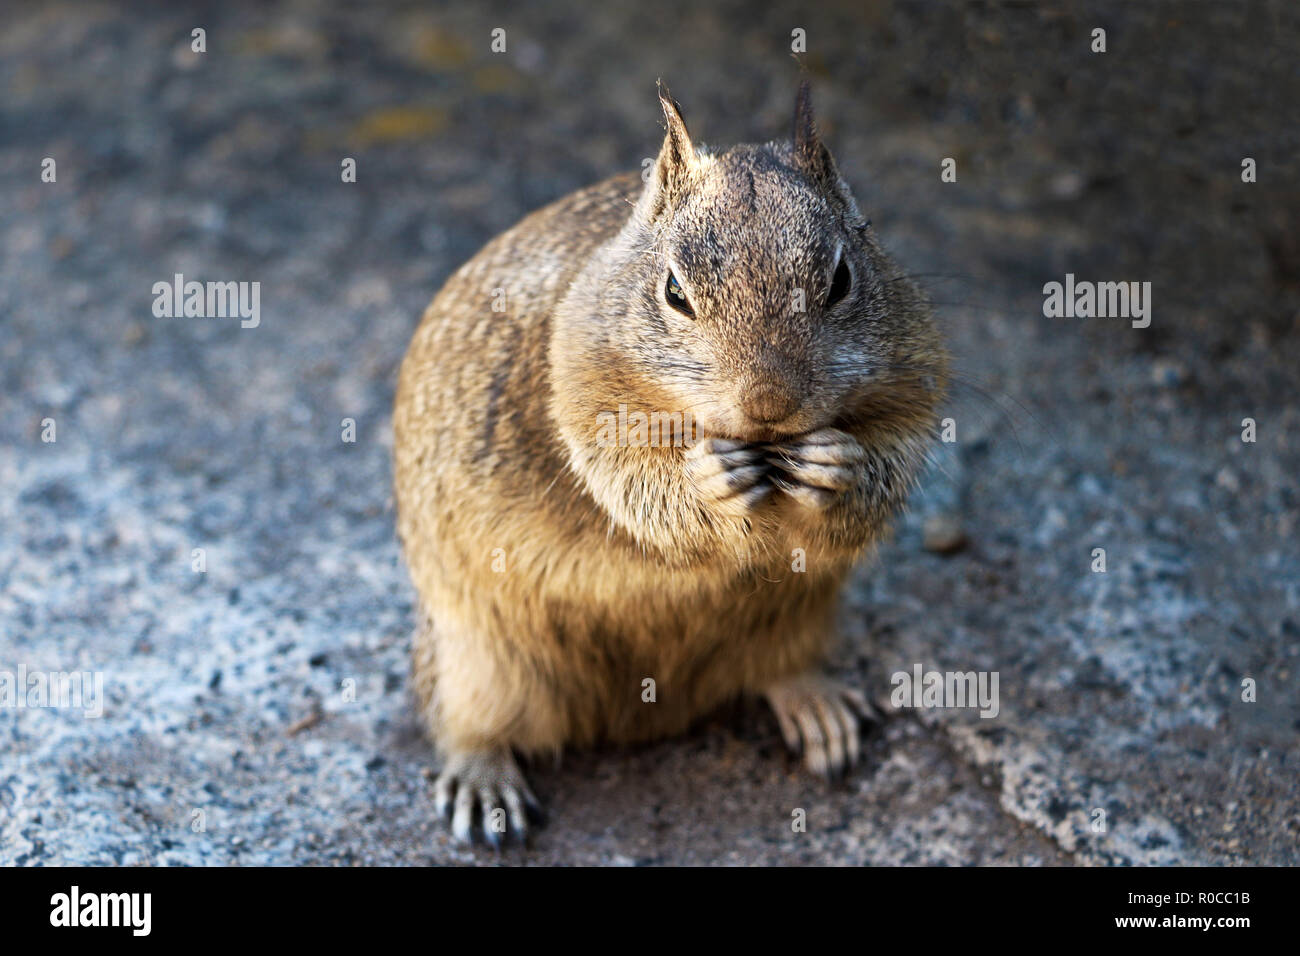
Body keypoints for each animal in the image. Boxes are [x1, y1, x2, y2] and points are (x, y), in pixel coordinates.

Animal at [393, 83, 947, 846]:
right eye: (675, 293)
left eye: (841, 279)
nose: (769, 403)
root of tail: (644, 715)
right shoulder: (587, 403)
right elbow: (634, 482)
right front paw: (709, 483)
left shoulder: (914, 382)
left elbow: (893, 456)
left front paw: (839, 468)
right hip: (475, 659)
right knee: (462, 725)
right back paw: (484, 785)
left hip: (798, 622)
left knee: (777, 670)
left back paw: (818, 707)